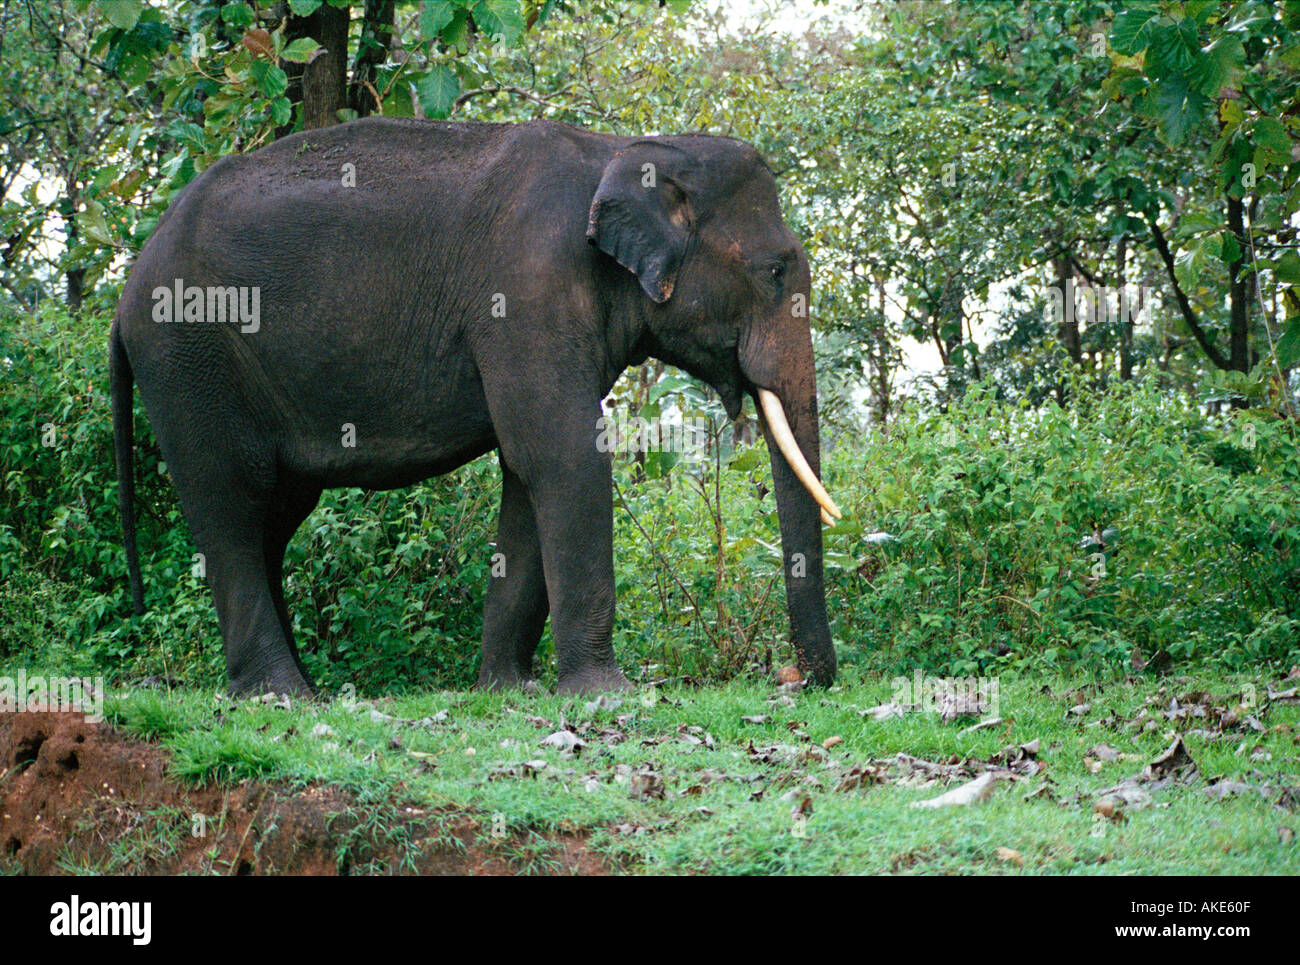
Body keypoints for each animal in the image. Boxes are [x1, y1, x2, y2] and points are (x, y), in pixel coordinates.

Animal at [110, 116, 841, 697]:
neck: (620, 150)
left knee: (275, 516)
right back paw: (279, 695)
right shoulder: (526, 291)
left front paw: (507, 689)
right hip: (188, 355)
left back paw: (302, 688)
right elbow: (563, 455)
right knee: (230, 505)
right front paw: (605, 693)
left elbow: (527, 473)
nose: (795, 678)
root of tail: (128, 289)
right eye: (775, 271)